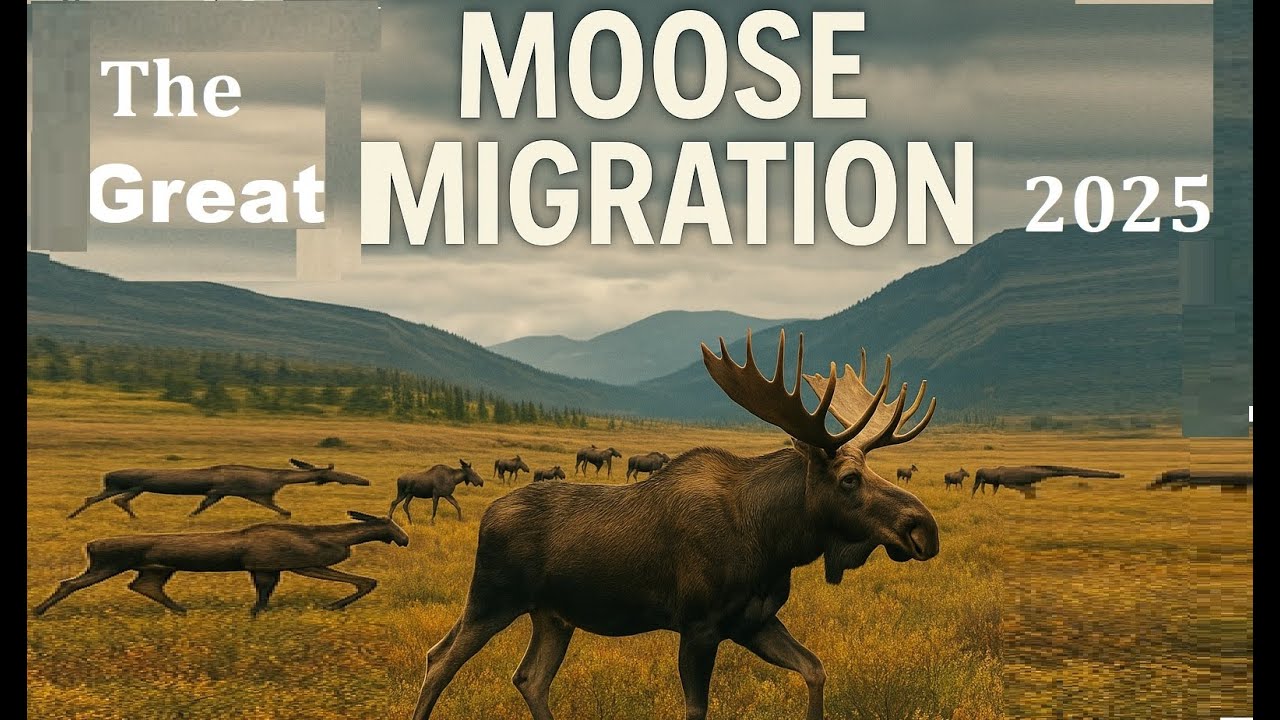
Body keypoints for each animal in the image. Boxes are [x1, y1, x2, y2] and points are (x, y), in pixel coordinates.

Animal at [32, 511, 409, 617]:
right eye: (389, 524)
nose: (405, 539)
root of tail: (90, 544)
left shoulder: (268, 569)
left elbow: (263, 599)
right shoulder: (291, 564)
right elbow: (363, 581)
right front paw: (333, 605)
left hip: (157, 568)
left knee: (144, 585)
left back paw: (181, 611)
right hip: (106, 564)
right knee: (70, 583)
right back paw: (38, 611)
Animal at [408, 329, 940, 720]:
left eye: (872, 470)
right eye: (850, 479)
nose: (924, 529)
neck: (772, 541)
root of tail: (486, 517)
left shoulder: (753, 621)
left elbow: (815, 669)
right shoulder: (699, 625)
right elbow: (696, 709)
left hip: (553, 614)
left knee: (529, 678)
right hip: (492, 598)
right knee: (439, 659)